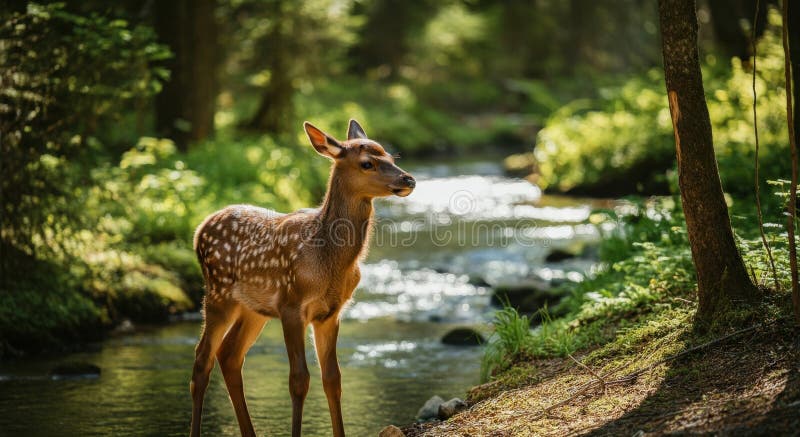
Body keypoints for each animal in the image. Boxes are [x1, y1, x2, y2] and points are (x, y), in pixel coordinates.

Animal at [189, 119, 416, 437]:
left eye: (391, 157)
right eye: (367, 163)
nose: (409, 180)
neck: (329, 260)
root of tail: (199, 229)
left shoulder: (330, 313)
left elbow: (332, 379)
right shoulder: (291, 305)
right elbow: (298, 380)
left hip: (253, 308)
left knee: (229, 355)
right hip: (218, 292)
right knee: (202, 359)